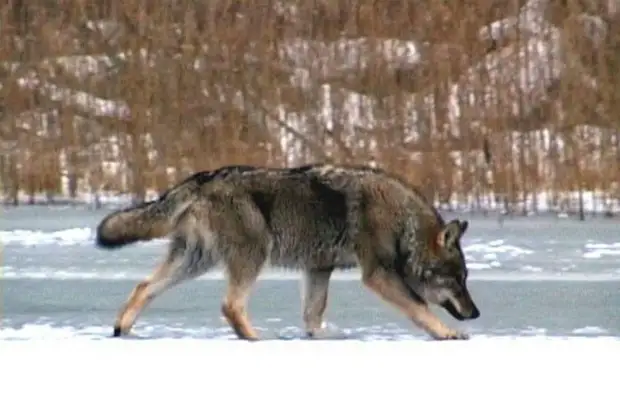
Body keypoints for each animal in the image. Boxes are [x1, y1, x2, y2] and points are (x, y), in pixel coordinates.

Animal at [97, 164, 482, 342]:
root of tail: (202, 178)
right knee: (230, 305)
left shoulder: (319, 269)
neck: (403, 223)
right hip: (254, 255)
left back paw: (122, 329)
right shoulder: (377, 275)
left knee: (143, 287)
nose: (476, 313)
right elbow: (420, 308)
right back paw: (255, 339)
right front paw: (448, 334)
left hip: (194, 262)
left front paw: (321, 337)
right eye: (457, 280)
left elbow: (313, 314)